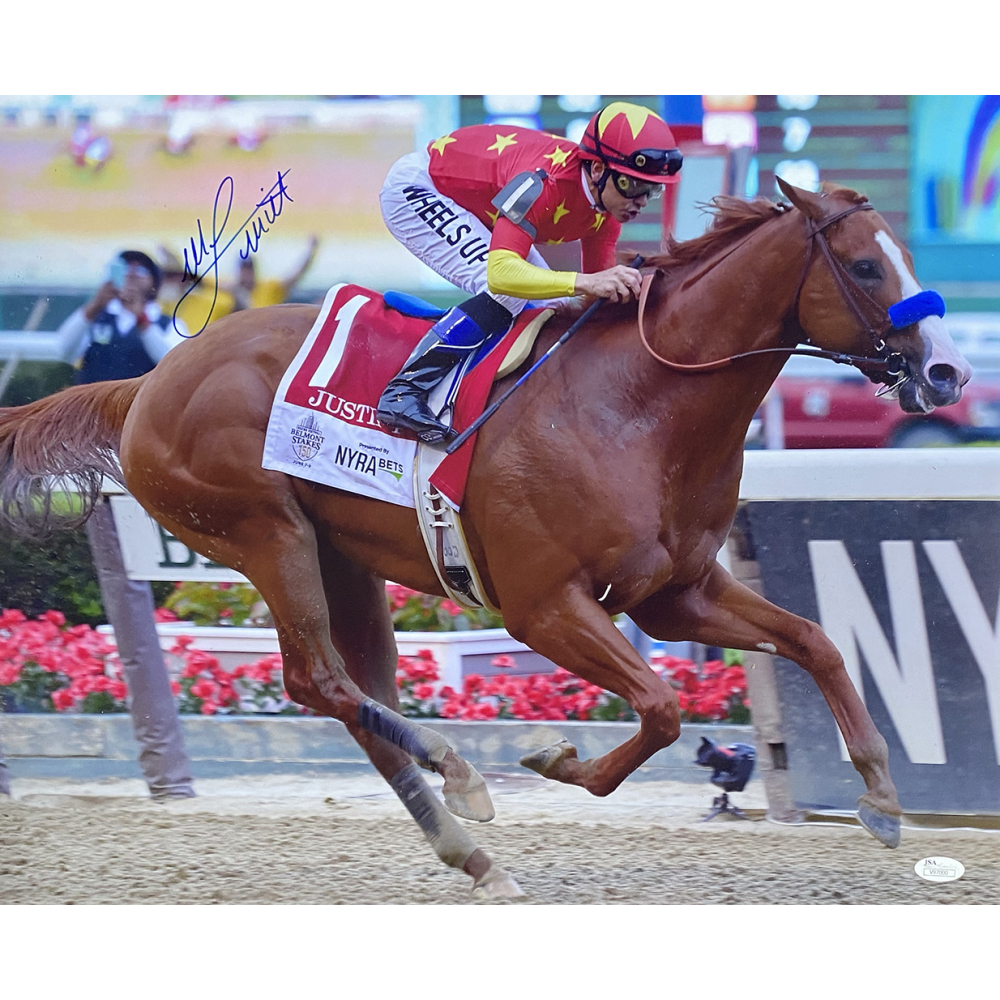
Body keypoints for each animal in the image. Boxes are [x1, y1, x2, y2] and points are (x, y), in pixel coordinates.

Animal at [0, 179, 971, 900]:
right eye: (864, 266)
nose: (947, 370)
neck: (640, 405)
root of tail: (149, 382)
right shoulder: (544, 607)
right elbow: (662, 707)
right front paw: (553, 756)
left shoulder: (678, 593)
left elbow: (814, 642)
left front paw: (882, 796)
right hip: (264, 533)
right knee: (318, 681)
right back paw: (461, 773)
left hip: (339, 557)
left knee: (353, 693)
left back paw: (470, 852)